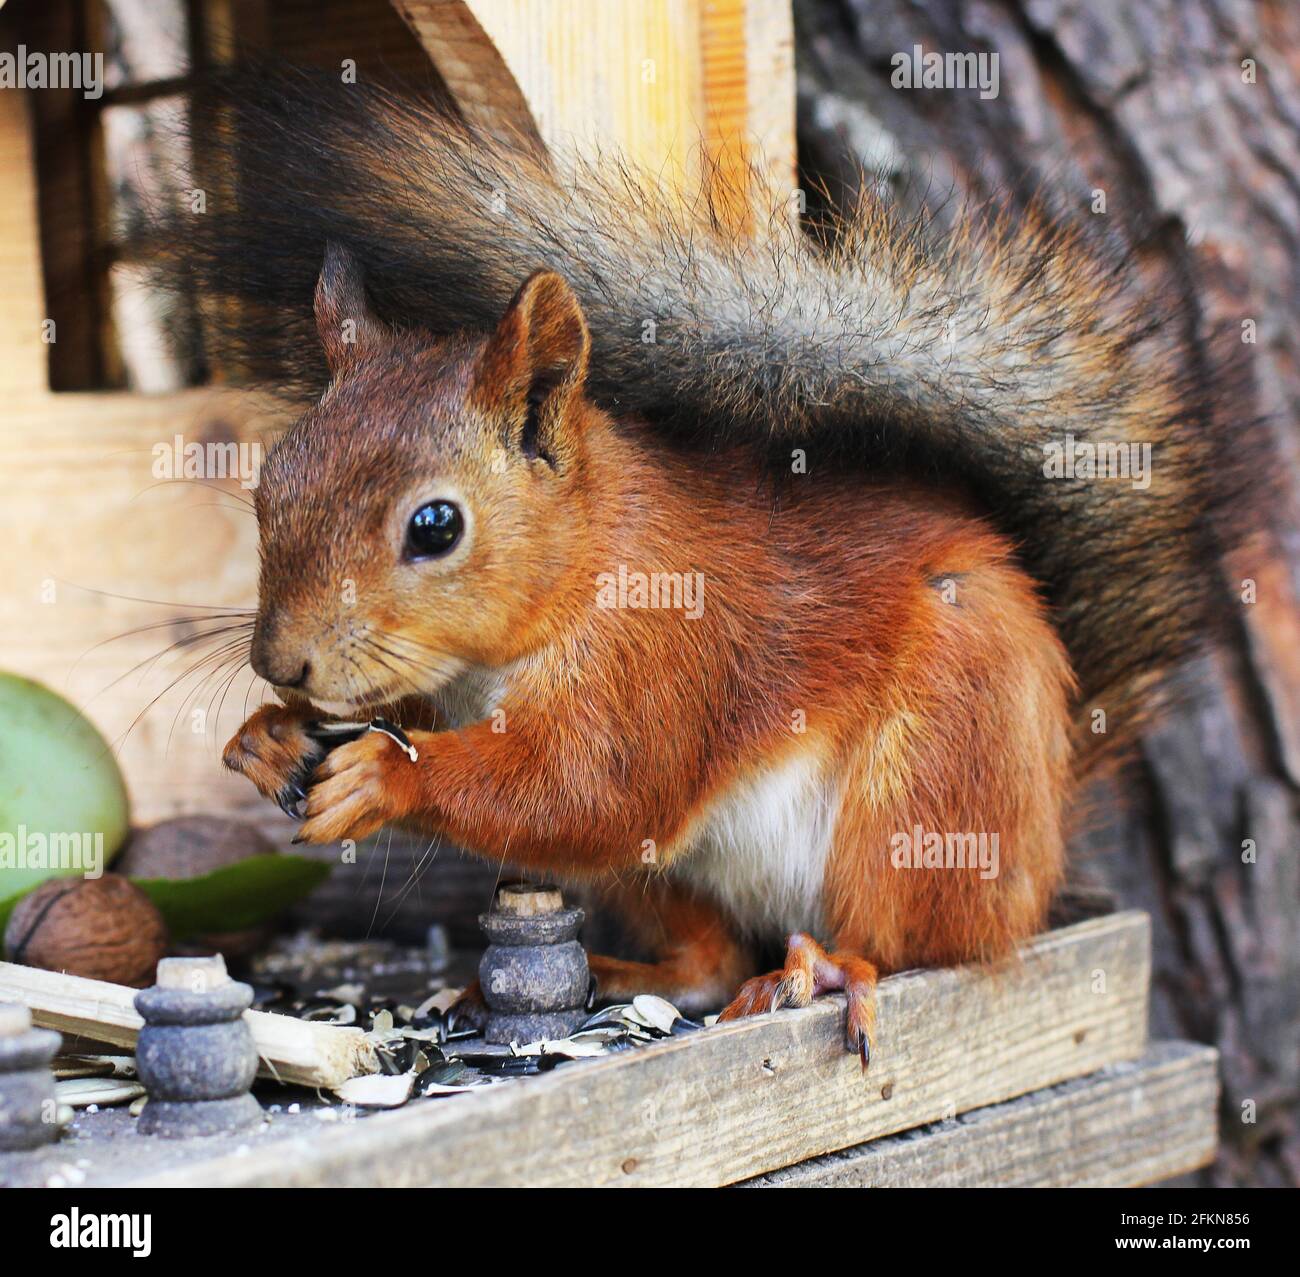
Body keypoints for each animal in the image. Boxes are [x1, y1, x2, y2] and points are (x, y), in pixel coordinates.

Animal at [155, 67, 1256, 1060]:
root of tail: (1045, 828)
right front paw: (268, 737)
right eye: (272, 483)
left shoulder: (660, 659)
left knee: (920, 941)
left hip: (932, 783)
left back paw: (826, 968)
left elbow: (585, 790)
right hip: (663, 875)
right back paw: (630, 976)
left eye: (434, 526)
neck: (576, 575)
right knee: (709, 958)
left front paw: (384, 771)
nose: (279, 662)